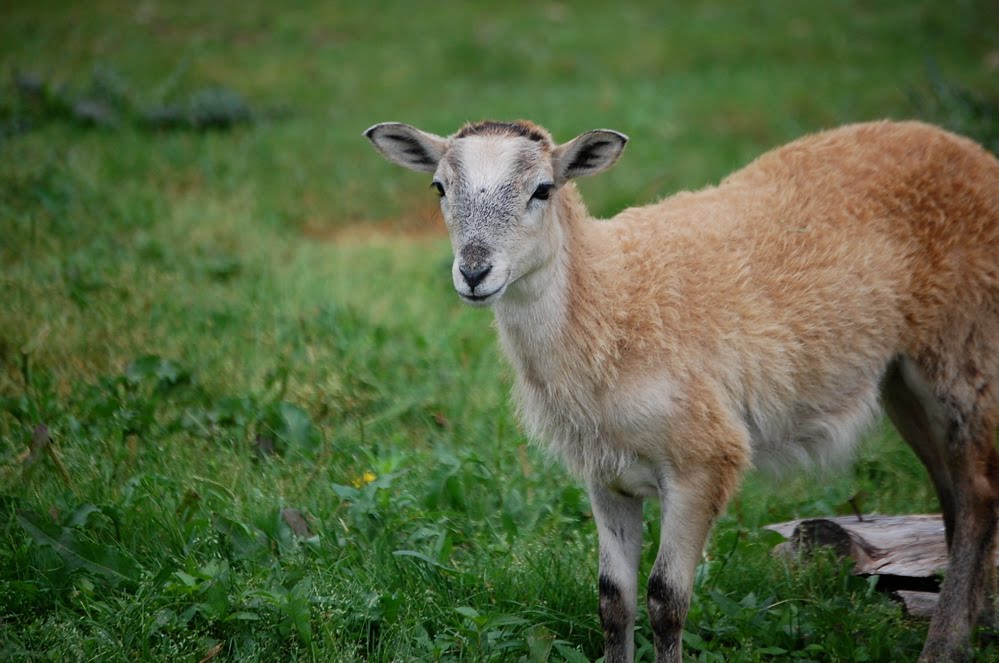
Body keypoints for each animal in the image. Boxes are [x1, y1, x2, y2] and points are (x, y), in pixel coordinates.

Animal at [364, 118, 999, 662]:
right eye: (439, 187)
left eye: (543, 190)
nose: (474, 272)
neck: (606, 300)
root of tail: (971, 151)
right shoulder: (606, 473)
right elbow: (612, 599)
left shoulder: (705, 458)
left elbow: (666, 599)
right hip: (901, 379)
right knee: (956, 494)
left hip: (964, 346)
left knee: (977, 495)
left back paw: (943, 645)